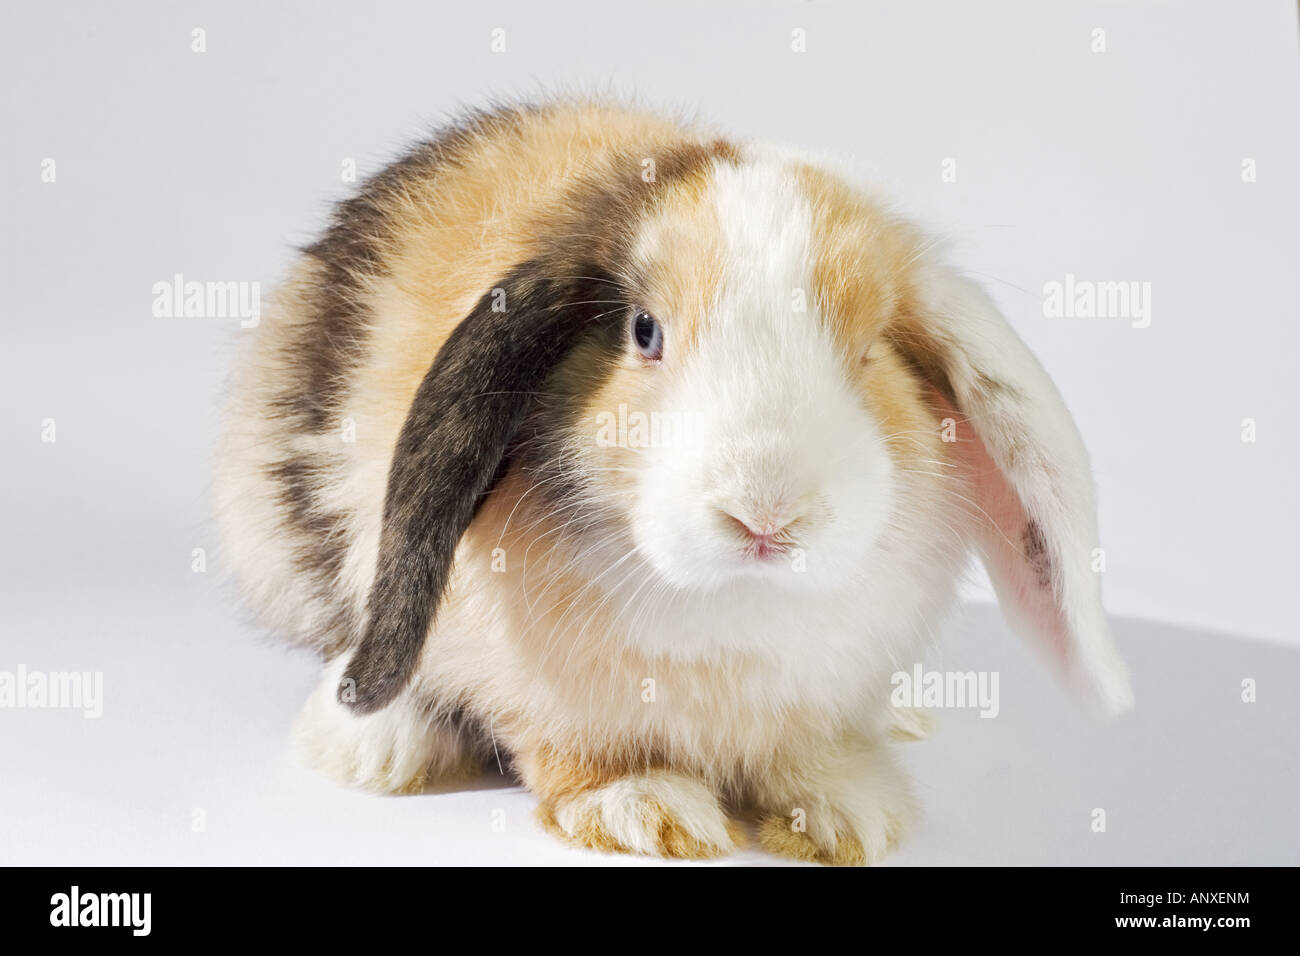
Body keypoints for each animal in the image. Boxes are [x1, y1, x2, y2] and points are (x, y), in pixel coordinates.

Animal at [213, 97, 1132, 865]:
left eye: (873, 348)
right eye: (644, 331)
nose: (767, 516)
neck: (731, 612)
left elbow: (809, 755)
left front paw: (846, 812)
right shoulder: (544, 698)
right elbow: (573, 751)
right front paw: (646, 809)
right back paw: (379, 748)